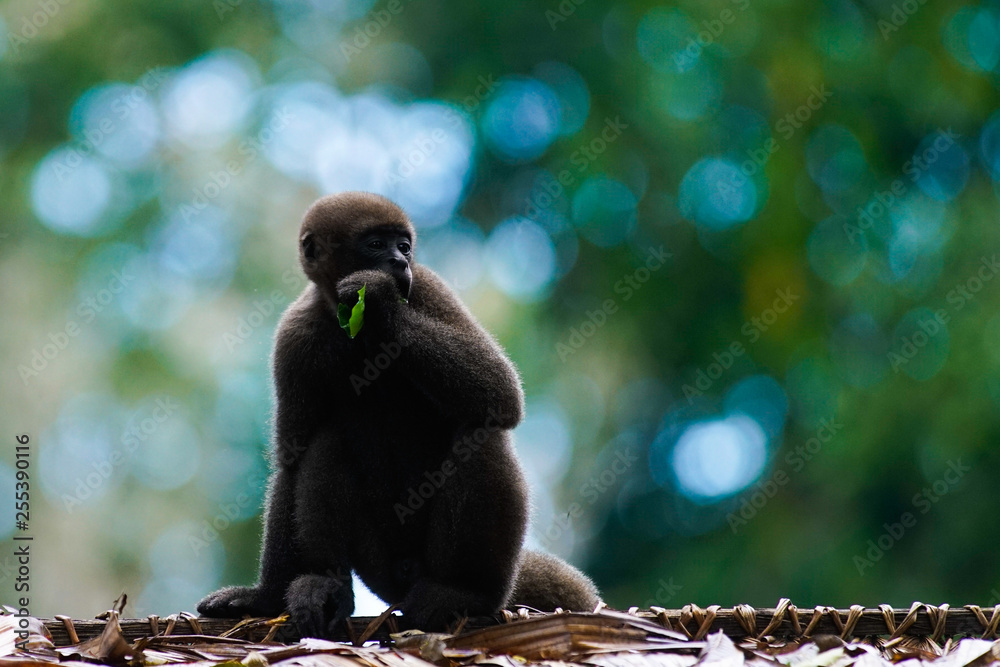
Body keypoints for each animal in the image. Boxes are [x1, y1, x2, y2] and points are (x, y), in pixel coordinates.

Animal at [197, 192, 601, 636]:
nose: (398, 262)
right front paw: (266, 597)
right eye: (376, 244)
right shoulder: (295, 337)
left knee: (482, 429)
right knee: (325, 441)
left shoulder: (426, 285)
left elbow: (502, 392)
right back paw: (327, 585)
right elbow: (292, 458)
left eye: (404, 247)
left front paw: (378, 303)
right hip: (378, 568)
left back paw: (467, 593)